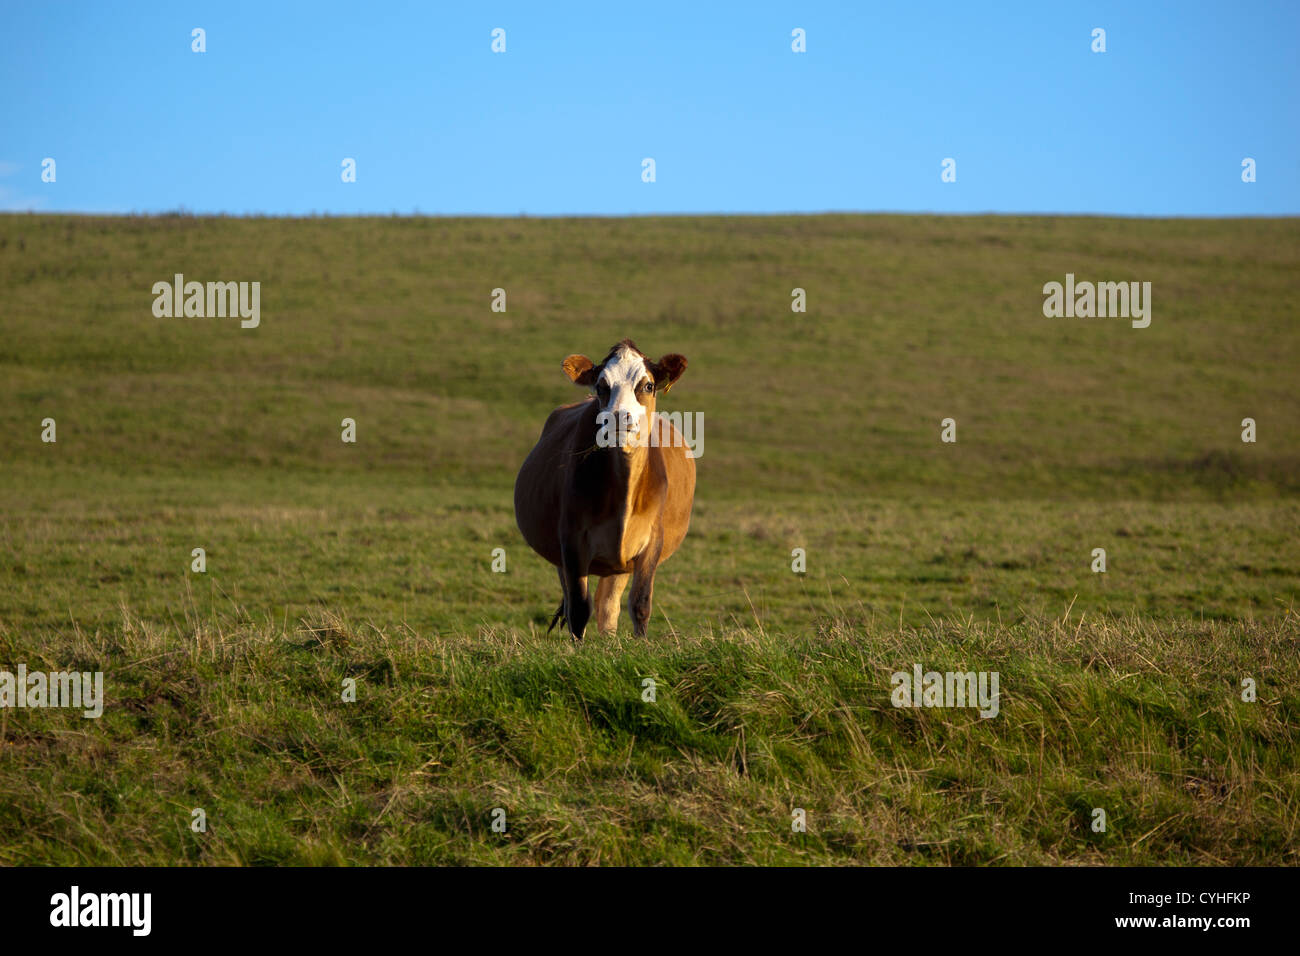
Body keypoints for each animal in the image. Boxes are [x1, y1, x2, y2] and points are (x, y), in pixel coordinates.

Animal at [514, 339, 696, 639]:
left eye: (647, 385)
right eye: (601, 386)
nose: (619, 418)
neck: (624, 490)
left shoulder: (652, 541)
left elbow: (640, 603)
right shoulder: (571, 540)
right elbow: (578, 609)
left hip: (620, 564)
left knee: (609, 606)